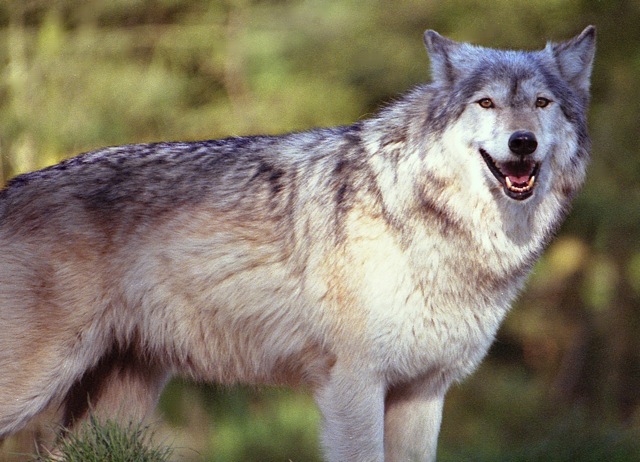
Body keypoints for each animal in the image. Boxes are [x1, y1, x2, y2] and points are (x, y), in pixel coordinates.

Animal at [0, 26, 595, 461]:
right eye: (487, 103)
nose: (523, 142)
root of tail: (13, 186)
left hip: (120, 405)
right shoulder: (354, 383)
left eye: (542, 102)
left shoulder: (423, 391)